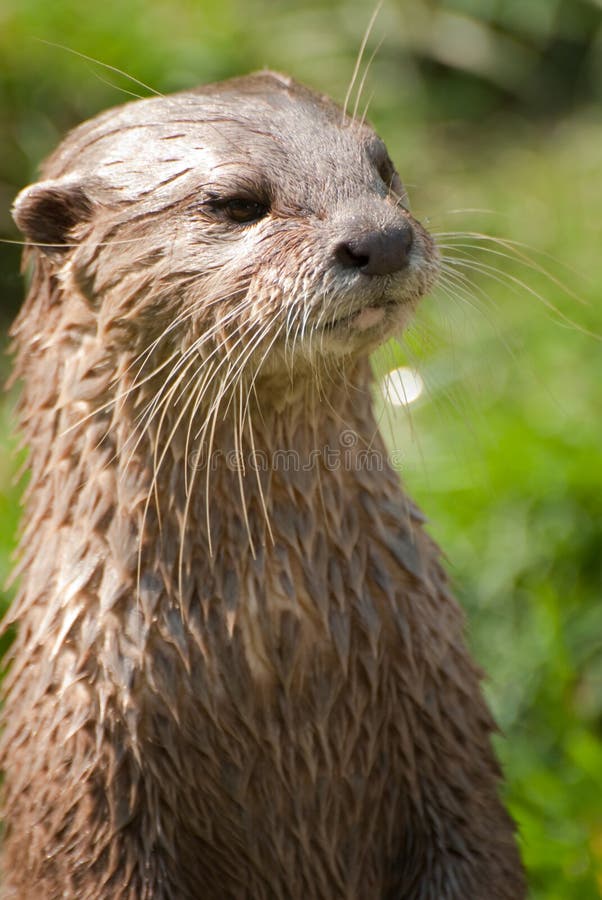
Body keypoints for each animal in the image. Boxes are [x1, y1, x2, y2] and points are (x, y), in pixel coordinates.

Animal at [2, 74, 524, 896]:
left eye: (383, 166)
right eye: (235, 203)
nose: (381, 238)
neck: (269, 645)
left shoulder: (452, 743)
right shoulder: (83, 789)